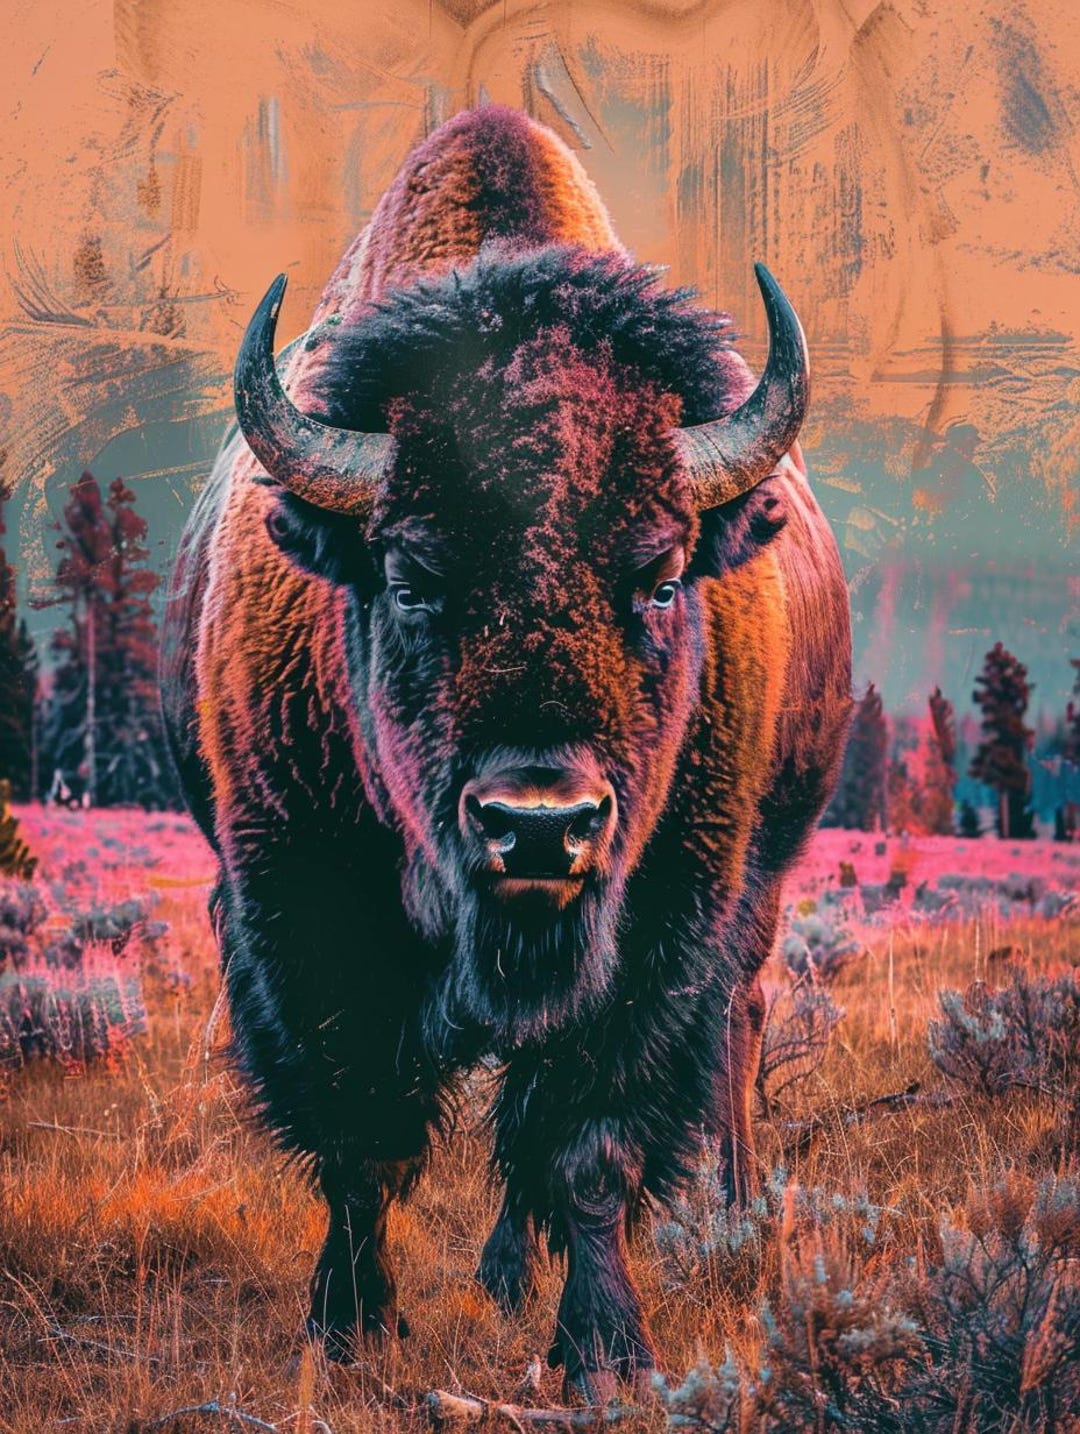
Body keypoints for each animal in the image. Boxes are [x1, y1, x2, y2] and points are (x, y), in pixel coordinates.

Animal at [161, 103, 852, 1398]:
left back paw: (725, 1218)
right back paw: (497, 1276)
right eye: (410, 576)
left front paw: (606, 1351)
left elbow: (590, 1143)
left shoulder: (659, 919)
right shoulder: (300, 910)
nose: (540, 825)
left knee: (733, 1029)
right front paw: (348, 1326)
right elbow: (361, 1136)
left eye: (662, 575)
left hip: (760, 888)